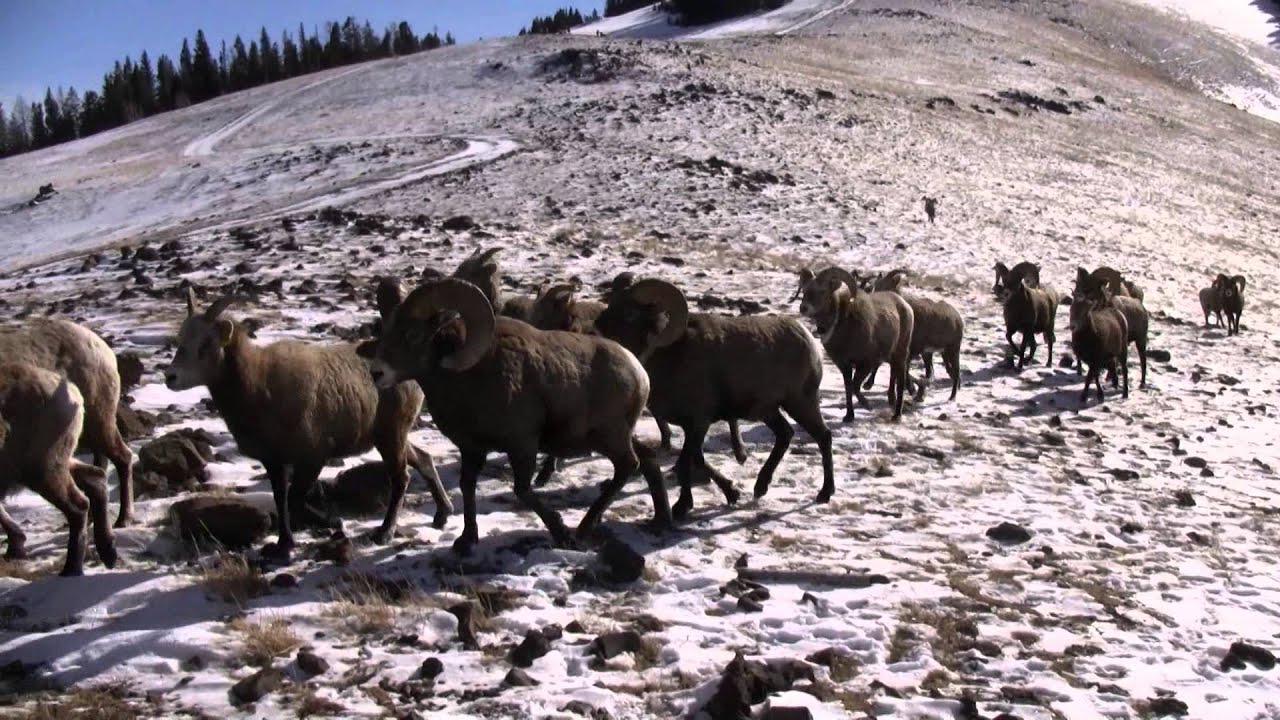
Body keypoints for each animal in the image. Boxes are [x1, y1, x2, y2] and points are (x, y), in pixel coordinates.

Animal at [1, 363, 117, 576]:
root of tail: (73, 393)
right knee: (95, 477)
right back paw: (108, 553)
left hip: (43, 468)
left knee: (78, 506)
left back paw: (71, 570)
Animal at [163, 289, 453, 562]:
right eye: (181, 339)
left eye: (206, 343)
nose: (171, 377)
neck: (260, 385)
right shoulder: (275, 461)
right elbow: (281, 499)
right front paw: (282, 545)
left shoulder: (312, 458)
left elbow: (293, 499)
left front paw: (329, 525)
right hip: (388, 436)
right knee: (423, 458)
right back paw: (442, 514)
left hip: (392, 435)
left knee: (401, 477)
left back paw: (385, 533)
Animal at [359, 277, 672, 554]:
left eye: (413, 334)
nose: (377, 373)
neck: (472, 379)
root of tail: (638, 373)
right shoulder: (472, 449)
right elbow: (467, 486)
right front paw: (466, 541)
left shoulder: (522, 446)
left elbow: (522, 490)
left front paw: (562, 533)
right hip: (617, 436)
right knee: (646, 460)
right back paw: (661, 520)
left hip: (610, 439)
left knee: (628, 465)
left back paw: (583, 528)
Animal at [596, 277, 835, 518]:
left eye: (630, 313)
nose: (599, 326)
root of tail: (807, 337)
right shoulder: (691, 427)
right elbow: (697, 460)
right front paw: (731, 493)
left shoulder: (699, 422)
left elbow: (686, 462)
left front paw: (682, 506)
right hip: (769, 411)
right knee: (785, 435)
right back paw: (760, 488)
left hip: (800, 403)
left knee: (823, 437)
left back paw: (825, 493)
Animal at [796, 267, 914, 421]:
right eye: (804, 291)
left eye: (822, 291)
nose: (803, 308)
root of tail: (904, 304)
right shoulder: (844, 365)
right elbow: (848, 388)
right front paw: (849, 416)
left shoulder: (866, 363)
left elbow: (855, 386)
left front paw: (867, 405)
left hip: (900, 354)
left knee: (900, 382)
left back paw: (897, 415)